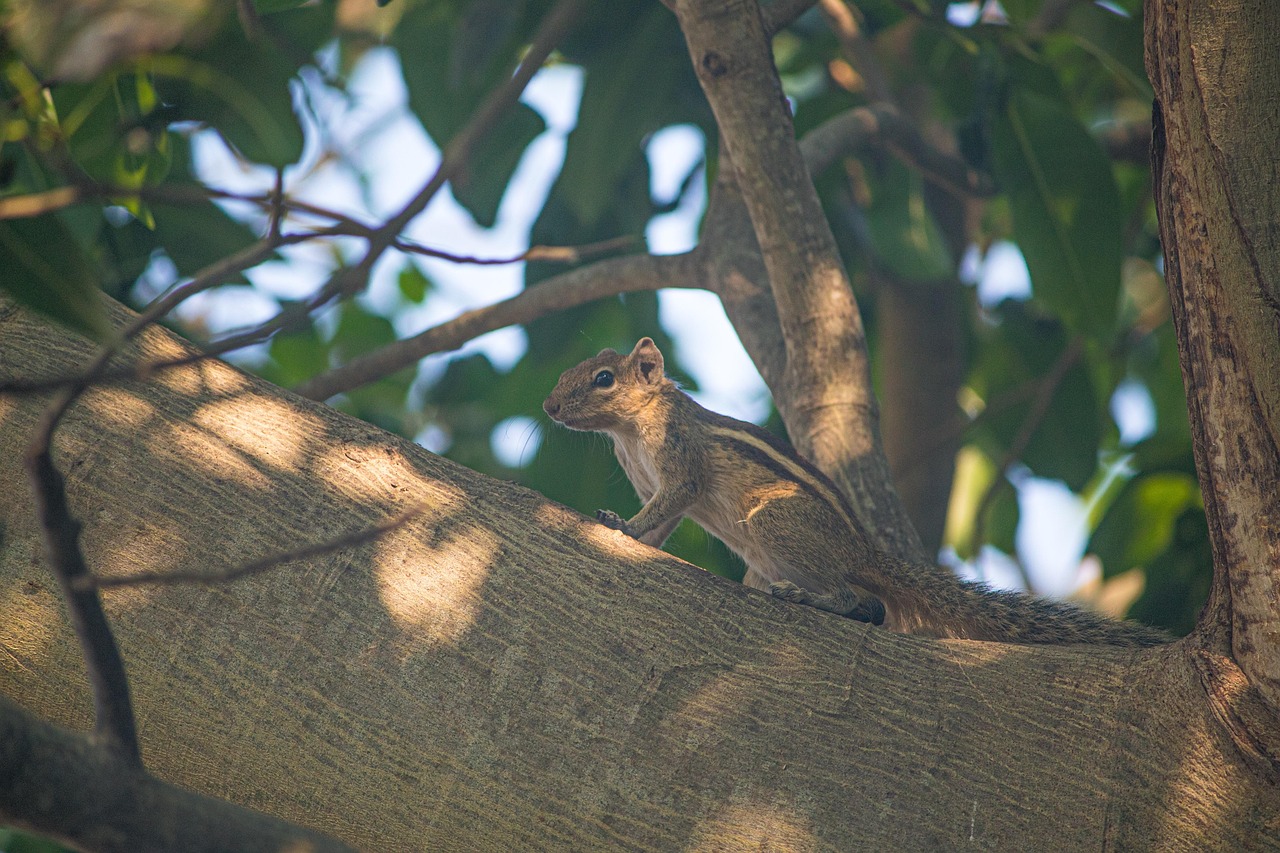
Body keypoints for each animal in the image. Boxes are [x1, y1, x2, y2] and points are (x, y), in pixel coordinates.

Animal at [543, 337, 1169, 647]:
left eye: (604, 379)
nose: (548, 406)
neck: (629, 430)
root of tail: (864, 552)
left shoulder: (680, 461)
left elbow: (673, 500)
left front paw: (621, 527)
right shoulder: (654, 481)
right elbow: (665, 520)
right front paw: (639, 536)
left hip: (775, 523)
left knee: (856, 599)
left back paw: (811, 598)